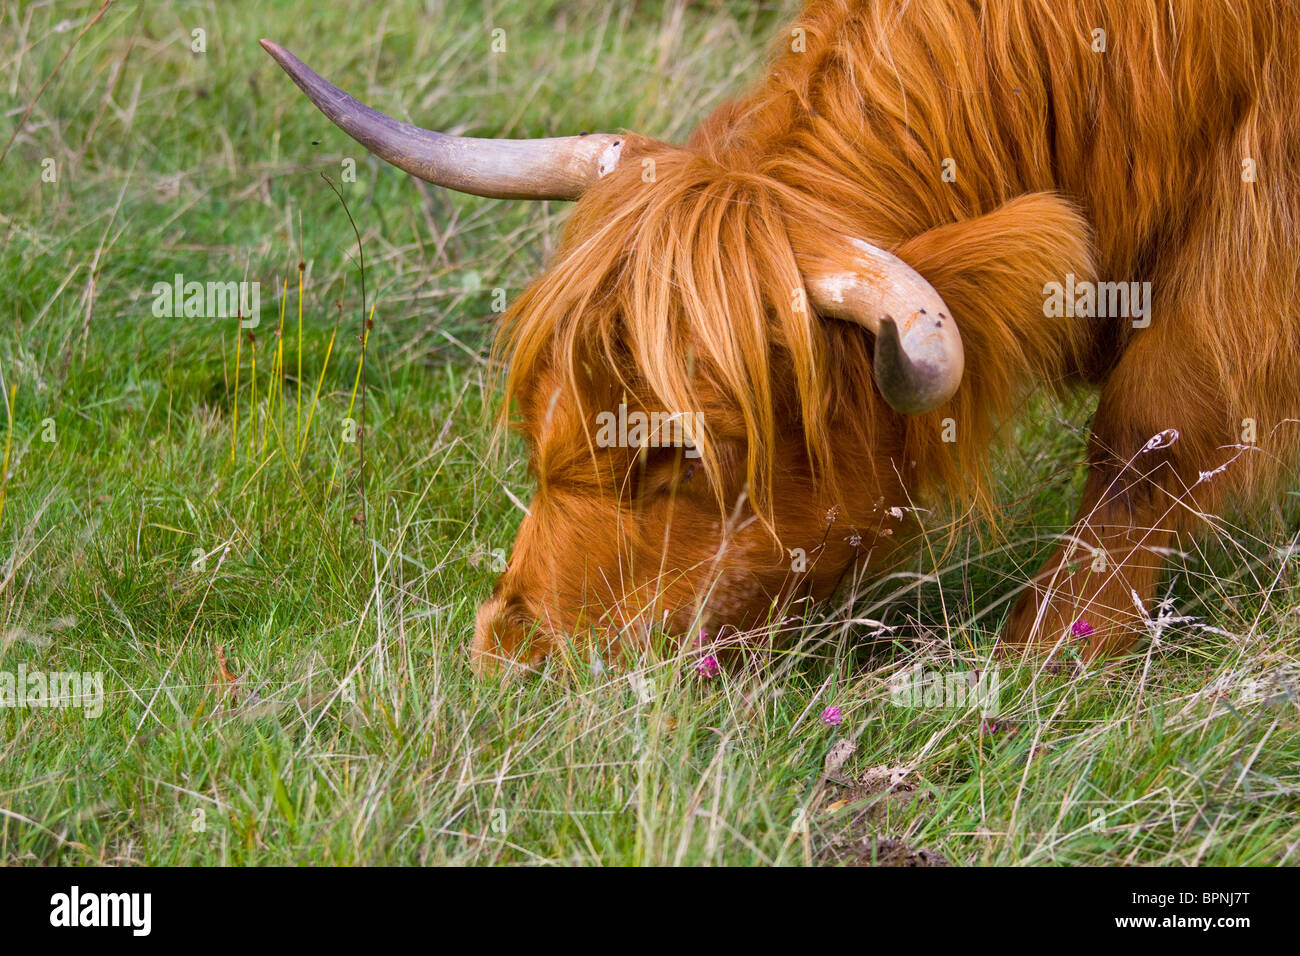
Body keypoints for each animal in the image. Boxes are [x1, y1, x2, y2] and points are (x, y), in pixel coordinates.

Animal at [261, 0, 1300, 675]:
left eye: (694, 450)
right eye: (541, 413)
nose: (514, 654)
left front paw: (1051, 649)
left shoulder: (1253, 227)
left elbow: (1149, 433)